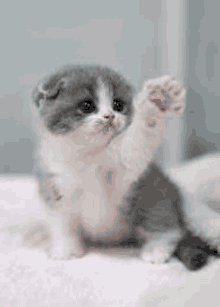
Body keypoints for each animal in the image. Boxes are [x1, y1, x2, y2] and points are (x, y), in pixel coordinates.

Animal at [29, 63, 186, 264]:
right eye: (87, 106)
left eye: (118, 105)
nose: (109, 116)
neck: (87, 154)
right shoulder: (54, 182)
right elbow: (61, 222)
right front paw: (66, 250)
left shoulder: (122, 172)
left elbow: (135, 147)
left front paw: (159, 99)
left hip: (155, 195)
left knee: (167, 225)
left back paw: (156, 249)